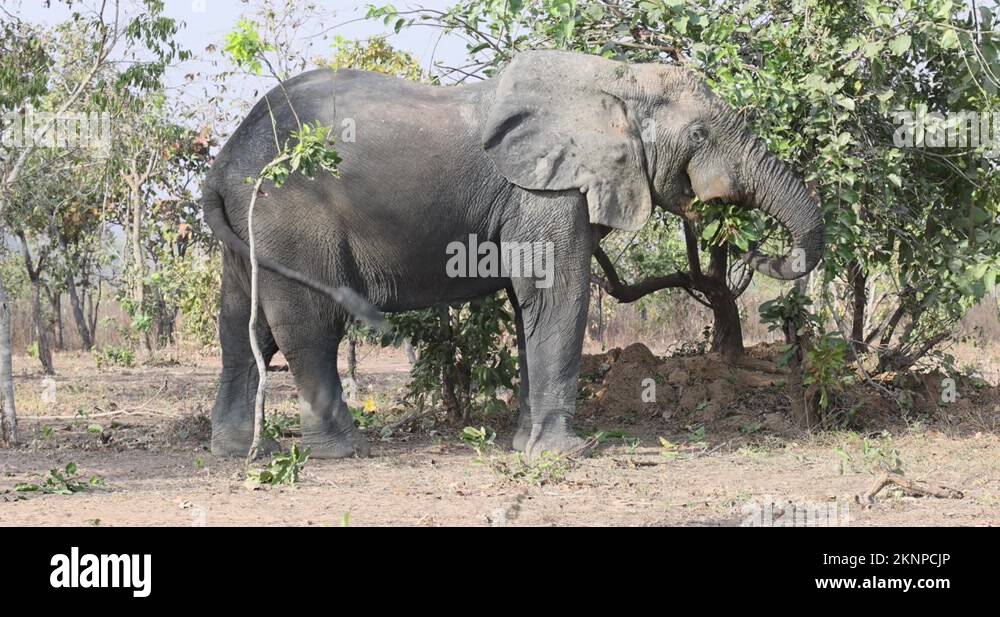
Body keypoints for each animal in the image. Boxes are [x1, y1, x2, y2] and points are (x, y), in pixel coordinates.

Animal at [201, 49, 825, 459]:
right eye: (698, 136)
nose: (756, 252)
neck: (613, 79)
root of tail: (225, 158)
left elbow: (531, 307)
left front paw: (524, 444)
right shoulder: (545, 190)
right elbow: (557, 297)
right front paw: (564, 454)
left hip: (254, 230)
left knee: (240, 326)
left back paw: (233, 450)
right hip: (291, 214)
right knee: (309, 325)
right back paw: (341, 451)